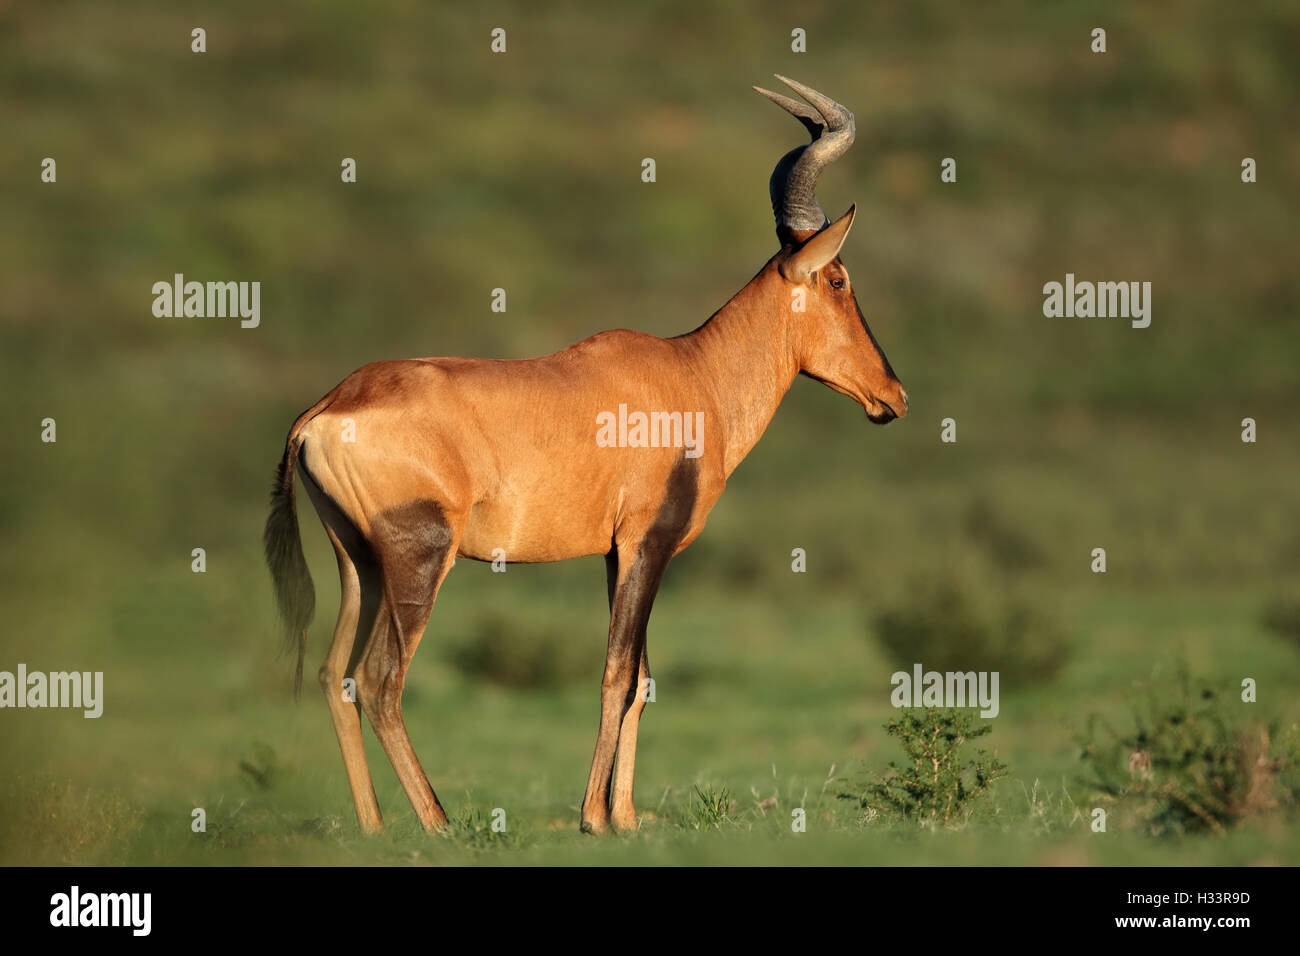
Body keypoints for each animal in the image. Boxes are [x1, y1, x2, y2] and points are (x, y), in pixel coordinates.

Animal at [264, 76, 908, 835]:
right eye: (839, 280)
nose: (893, 396)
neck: (689, 371)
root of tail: (325, 409)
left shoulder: (617, 552)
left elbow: (641, 677)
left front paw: (625, 819)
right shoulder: (648, 544)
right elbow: (619, 674)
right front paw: (594, 819)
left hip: (359, 562)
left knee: (334, 675)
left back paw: (375, 830)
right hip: (419, 555)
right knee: (379, 679)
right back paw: (440, 825)